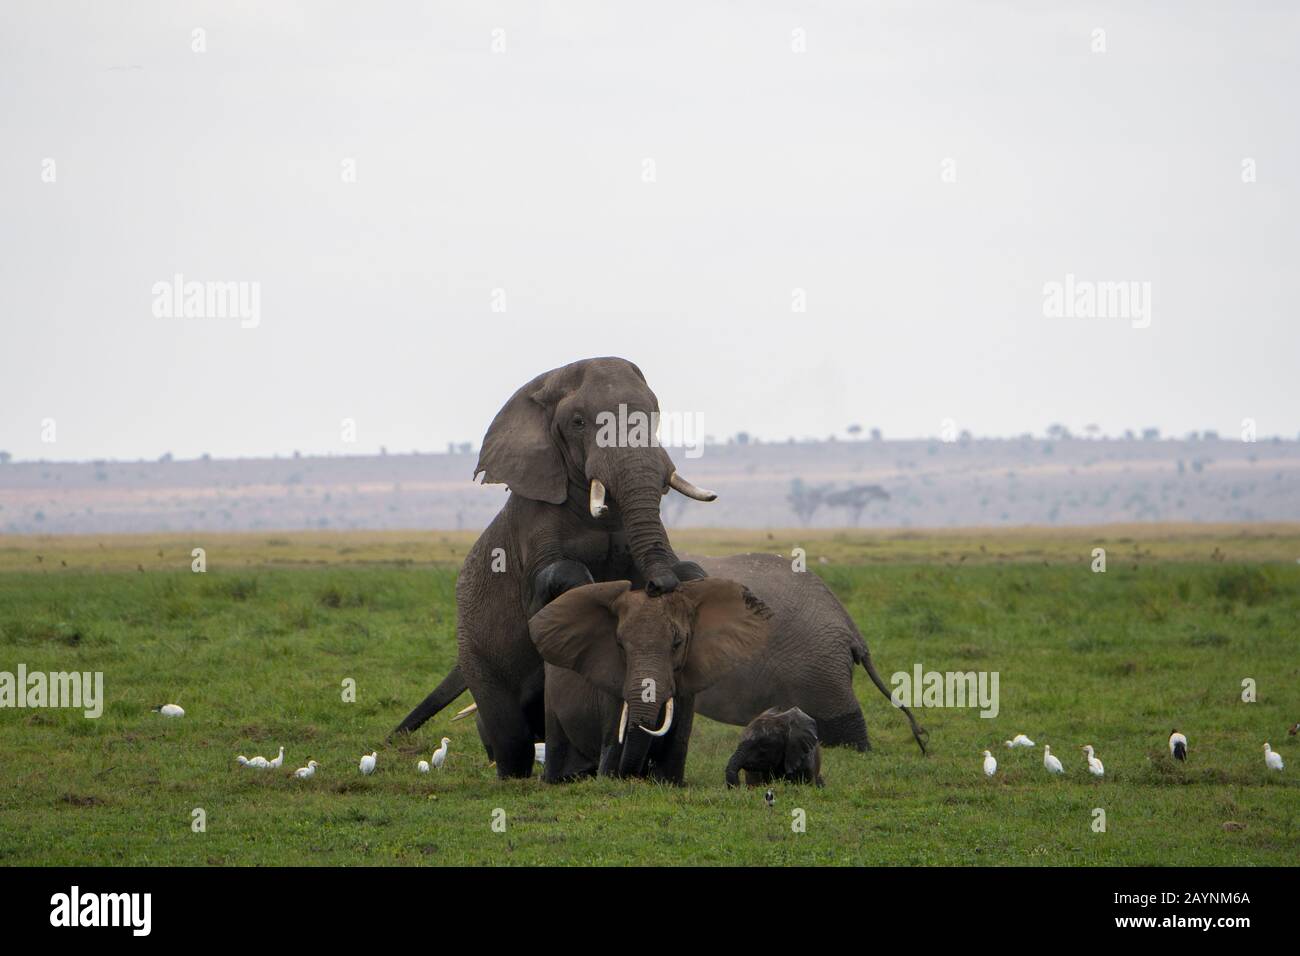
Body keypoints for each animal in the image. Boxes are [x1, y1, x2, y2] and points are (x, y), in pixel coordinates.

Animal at [390, 357, 718, 778]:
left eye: (655, 416)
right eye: (578, 422)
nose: (659, 585)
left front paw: (682, 580)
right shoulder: (533, 525)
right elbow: (554, 583)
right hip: (475, 654)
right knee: (511, 738)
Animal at [527, 577, 773, 784]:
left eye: (677, 643)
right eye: (620, 645)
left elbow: (676, 746)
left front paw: (668, 782)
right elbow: (614, 744)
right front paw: (611, 779)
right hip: (552, 700)